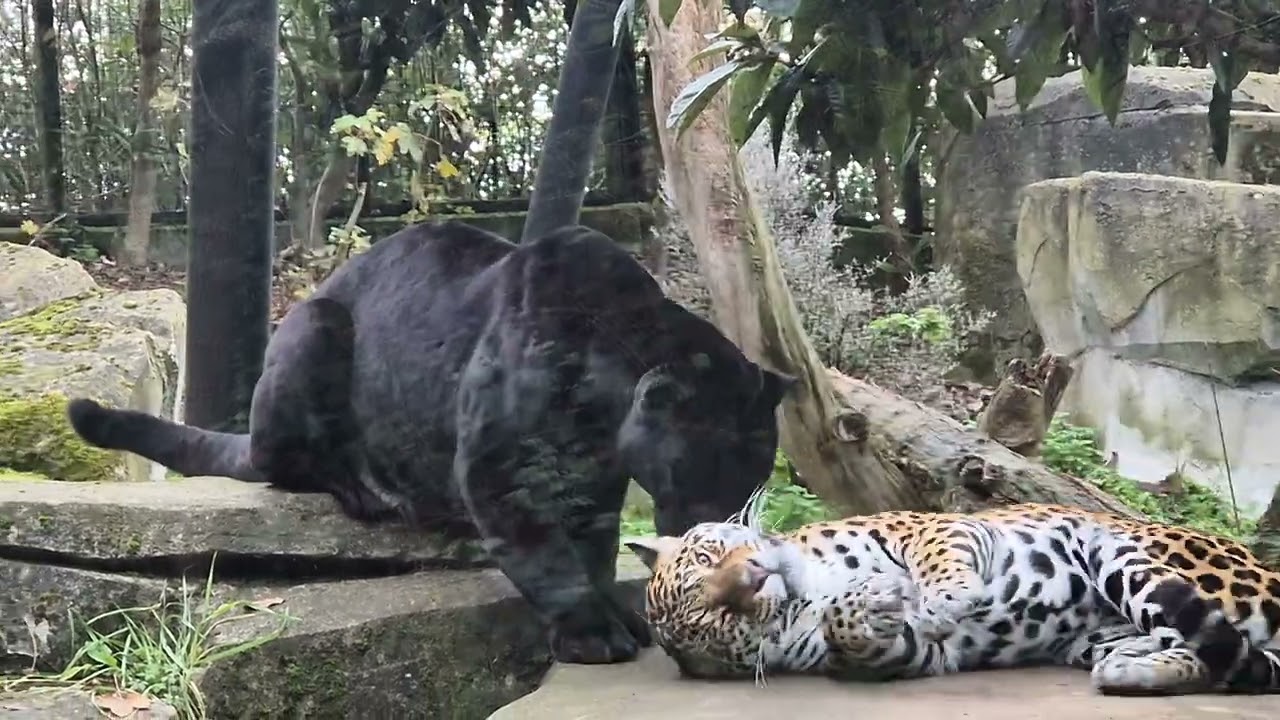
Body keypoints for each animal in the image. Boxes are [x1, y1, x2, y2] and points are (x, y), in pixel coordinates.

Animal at [625, 497, 1280, 696]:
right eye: (715, 617)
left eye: (709, 556)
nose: (756, 578)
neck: (807, 589)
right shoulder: (921, 655)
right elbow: (859, 635)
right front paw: (869, 606)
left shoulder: (937, 526)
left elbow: (938, 561)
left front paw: (935, 595)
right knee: (1235, 659)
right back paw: (1131, 668)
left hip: (1127, 556)